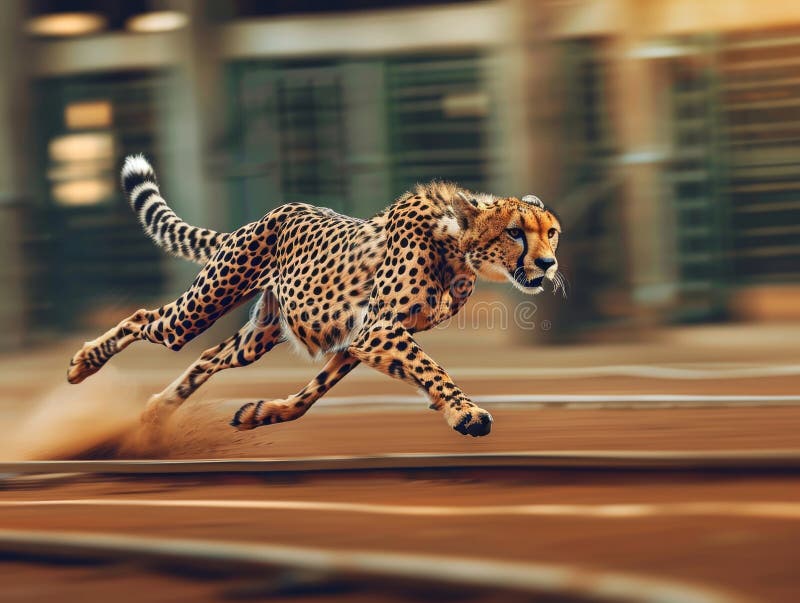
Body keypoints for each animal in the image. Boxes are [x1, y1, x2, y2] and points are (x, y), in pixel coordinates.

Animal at [67, 155, 562, 437]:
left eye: (551, 232)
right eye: (515, 232)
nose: (547, 263)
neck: (455, 245)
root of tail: (270, 214)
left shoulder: (358, 339)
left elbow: (312, 394)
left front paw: (262, 414)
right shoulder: (378, 329)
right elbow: (431, 368)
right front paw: (465, 413)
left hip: (256, 338)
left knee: (208, 356)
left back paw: (155, 413)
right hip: (201, 305)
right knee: (146, 319)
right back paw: (83, 364)